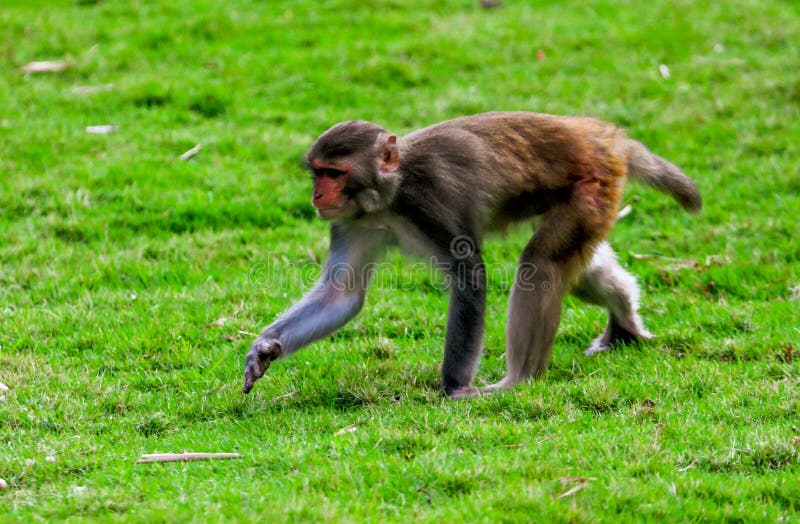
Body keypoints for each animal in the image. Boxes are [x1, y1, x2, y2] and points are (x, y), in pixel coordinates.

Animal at [242, 112, 701, 398]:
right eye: (317, 172)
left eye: (334, 173)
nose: (317, 195)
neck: (389, 196)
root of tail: (603, 136)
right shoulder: (353, 222)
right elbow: (342, 296)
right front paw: (266, 347)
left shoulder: (429, 204)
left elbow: (470, 275)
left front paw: (454, 386)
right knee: (578, 269)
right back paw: (624, 319)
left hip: (594, 181)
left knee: (540, 265)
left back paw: (518, 381)